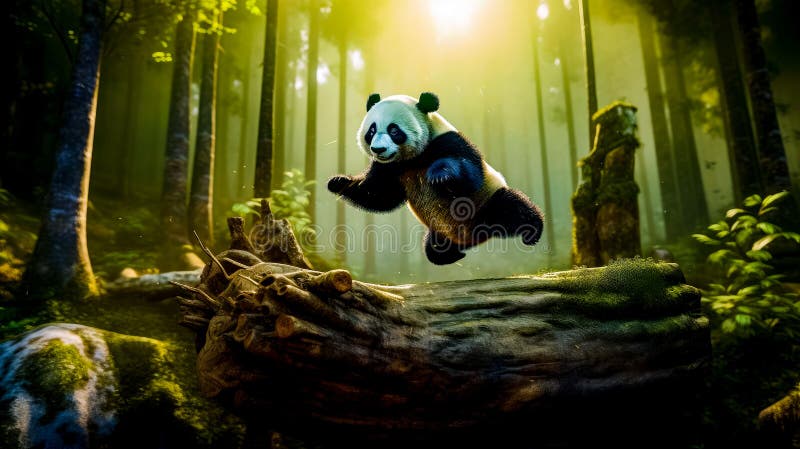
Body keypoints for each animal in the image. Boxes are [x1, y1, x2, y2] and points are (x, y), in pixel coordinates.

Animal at [327, 92, 544, 265]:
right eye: (371, 131)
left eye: (394, 130)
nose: (378, 149)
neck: (413, 158)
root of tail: (475, 237)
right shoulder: (390, 168)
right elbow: (379, 194)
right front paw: (338, 182)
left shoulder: (448, 141)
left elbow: (470, 175)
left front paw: (440, 175)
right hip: (440, 230)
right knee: (432, 247)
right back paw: (450, 256)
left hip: (486, 202)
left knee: (512, 207)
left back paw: (532, 232)